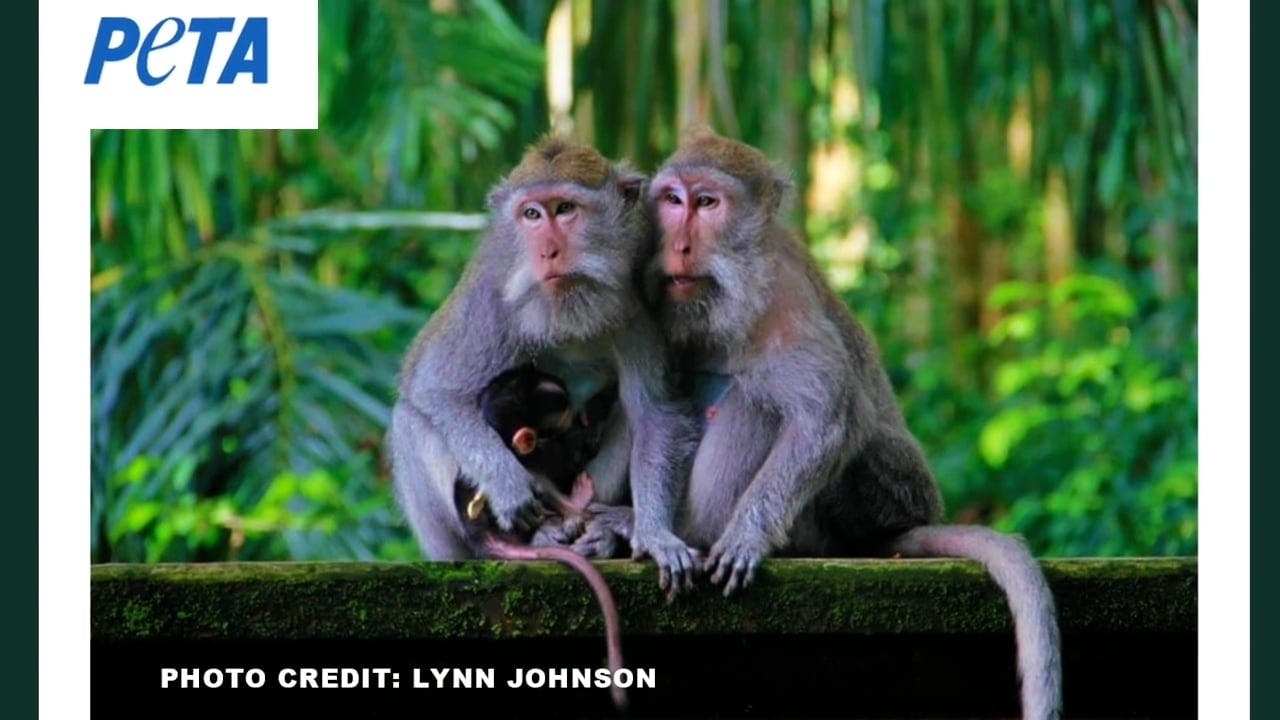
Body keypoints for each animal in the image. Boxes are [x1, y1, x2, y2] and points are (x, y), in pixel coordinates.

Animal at [386, 136, 700, 596]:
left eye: (565, 209)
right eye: (531, 214)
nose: (548, 251)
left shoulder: (641, 303)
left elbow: (653, 412)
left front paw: (657, 534)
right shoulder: (491, 294)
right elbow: (436, 391)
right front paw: (507, 484)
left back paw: (599, 533)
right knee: (410, 418)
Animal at [644, 129, 1062, 720]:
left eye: (706, 203)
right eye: (671, 200)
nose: (678, 245)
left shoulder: (786, 299)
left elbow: (830, 418)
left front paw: (746, 534)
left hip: (870, 497)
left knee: (760, 404)